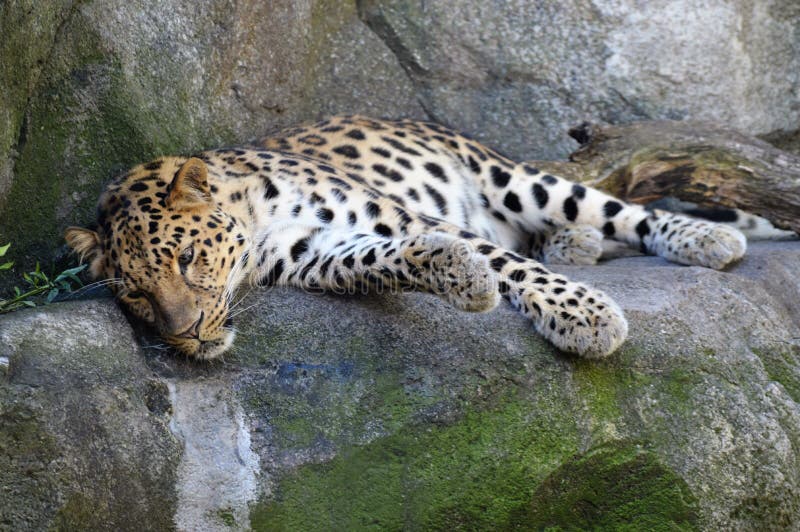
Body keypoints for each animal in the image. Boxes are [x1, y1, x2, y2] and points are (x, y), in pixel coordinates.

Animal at [65, 115, 747, 360]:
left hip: (512, 178)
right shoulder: (316, 254)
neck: (255, 223)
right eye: (135, 296)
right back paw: (573, 244)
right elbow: (384, 257)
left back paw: (706, 238)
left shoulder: (388, 210)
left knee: (616, 212)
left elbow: (507, 263)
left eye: (187, 258)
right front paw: (461, 274)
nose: (185, 334)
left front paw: (584, 315)